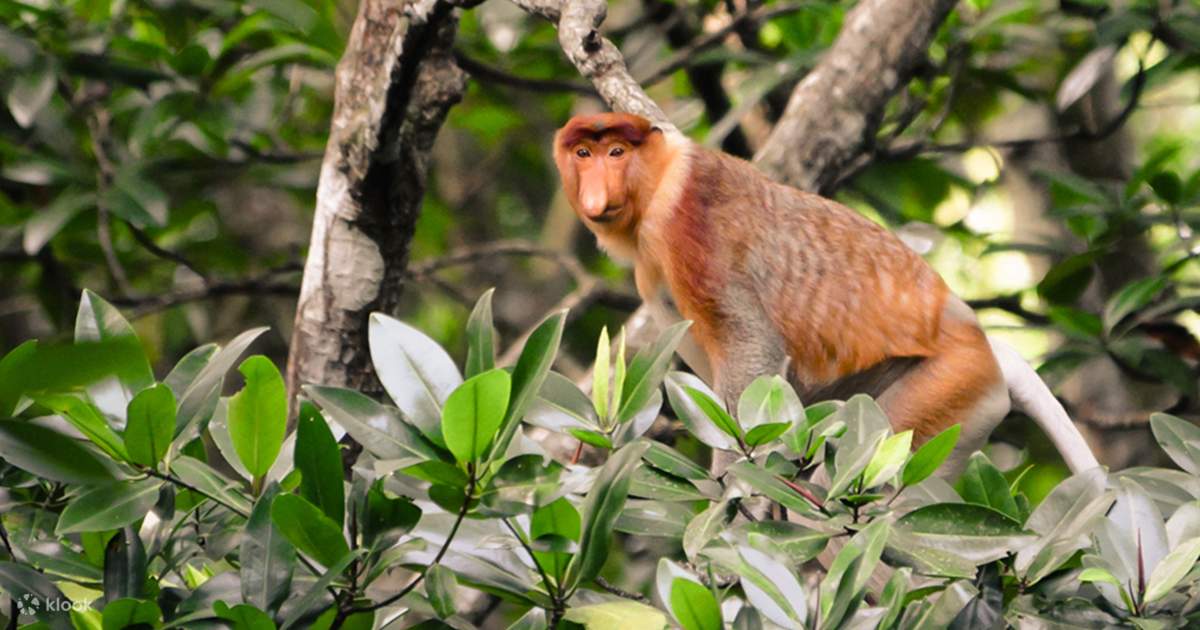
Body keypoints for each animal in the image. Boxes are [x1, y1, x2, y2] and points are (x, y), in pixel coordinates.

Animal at [553, 112, 1099, 476]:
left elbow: (752, 347)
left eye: (616, 153)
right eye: (583, 154)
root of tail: (978, 337)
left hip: (949, 389)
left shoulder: (689, 223)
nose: (596, 193)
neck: (661, 181)